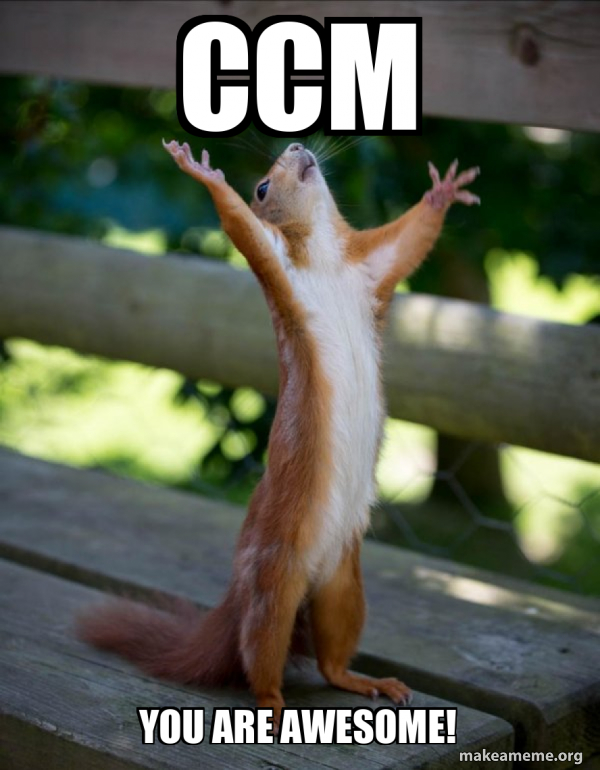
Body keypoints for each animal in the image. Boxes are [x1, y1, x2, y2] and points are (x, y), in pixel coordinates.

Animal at [78, 139, 479, 730]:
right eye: (262, 187)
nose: (295, 145)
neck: (326, 257)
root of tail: (240, 594)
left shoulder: (371, 267)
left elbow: (409, 240)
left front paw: (443, 192)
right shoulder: (277, 265)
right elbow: (240, 226)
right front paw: (204, 173)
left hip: (344, 586)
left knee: (331, 659)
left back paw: (366, 680)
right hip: (274, 583)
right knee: (259, 654)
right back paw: (270, 704)